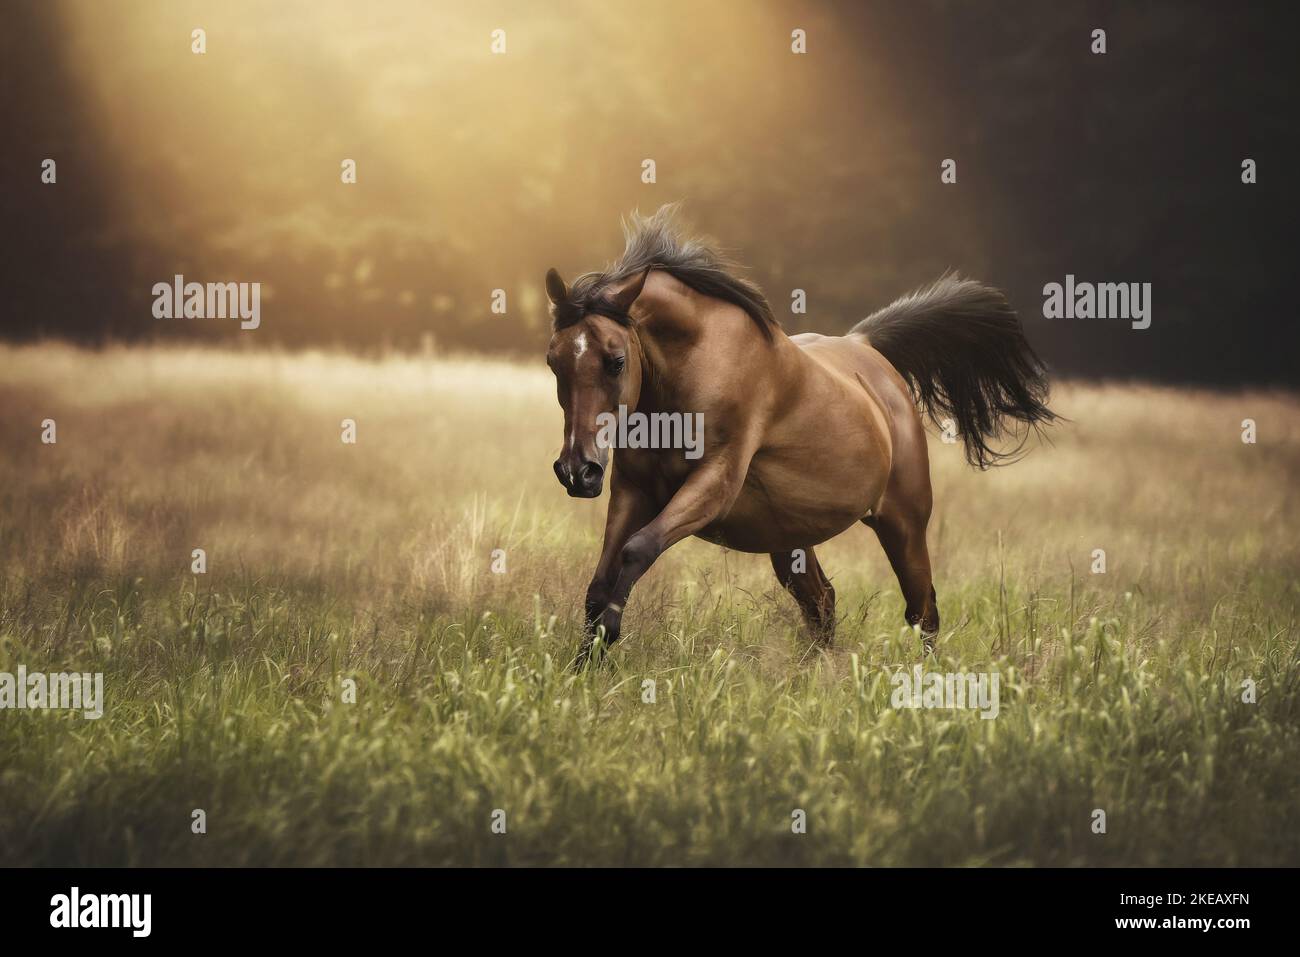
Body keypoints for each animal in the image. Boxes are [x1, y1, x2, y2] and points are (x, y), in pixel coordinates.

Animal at [544, 206, 1055, 668]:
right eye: (554, 361)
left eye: (615, 360)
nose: (577, 471)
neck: (695, 365)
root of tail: (868, 348)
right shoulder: (632, 490)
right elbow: (601, 579)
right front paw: (583, 665)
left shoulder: (712, 485)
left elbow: (637, 550)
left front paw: (605, 641)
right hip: (788, 539)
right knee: (824, 601)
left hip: (903, 524)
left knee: (922, 610)